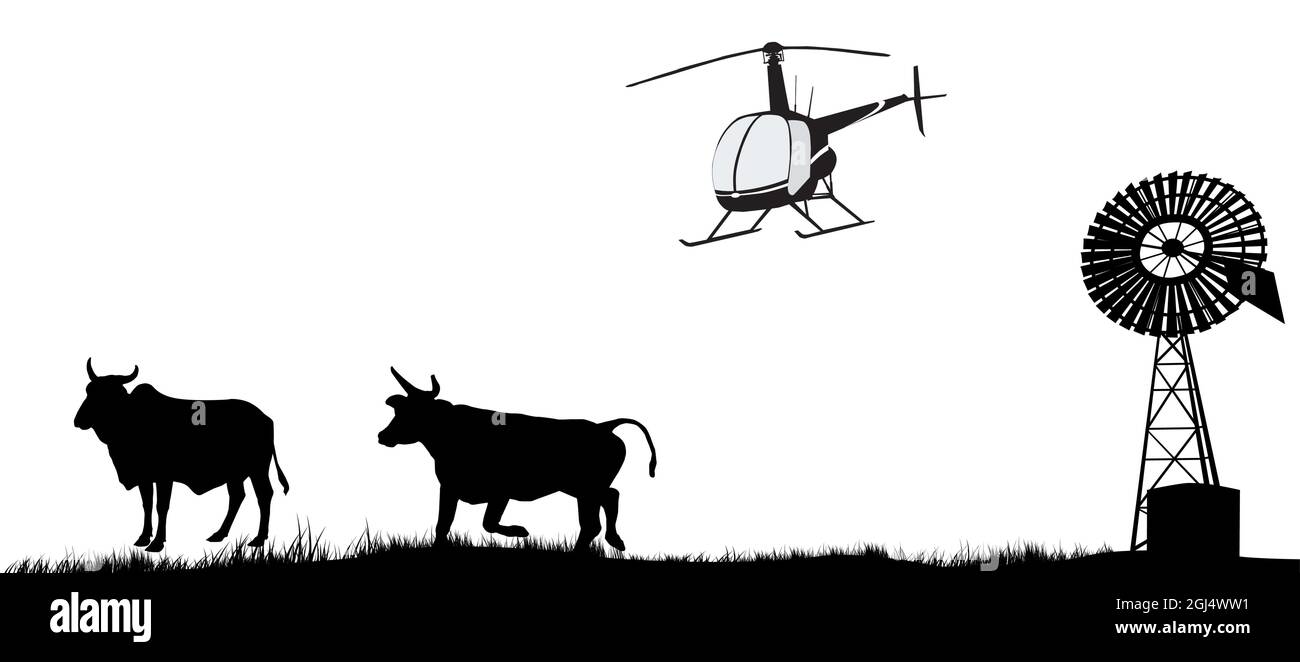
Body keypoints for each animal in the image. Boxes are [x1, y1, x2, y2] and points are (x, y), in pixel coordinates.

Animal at [73, 359, 290, 553]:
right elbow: (147, 504)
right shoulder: (145, 478)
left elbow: (161, 506)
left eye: (108, 395)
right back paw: (219, 534)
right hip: (235, 474)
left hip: (258, 469)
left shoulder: (164, 477)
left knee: (264, 495)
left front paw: (157, 543)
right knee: (237, 496)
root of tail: (265, 418)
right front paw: (143, 537)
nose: (78, 420)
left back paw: (259, 538)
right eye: (88, 391)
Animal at [378, 368, 657, 552]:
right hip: (581, 490)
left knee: (597, 515)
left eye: (412, 412)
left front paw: (520, 531)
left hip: (586, 489)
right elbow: (443, 524)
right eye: (399, 410)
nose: (383, 435)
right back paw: (610, 542)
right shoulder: (450, 488)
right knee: (607, 503)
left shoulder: (498, 491)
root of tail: (605, 426)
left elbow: (487, 523)